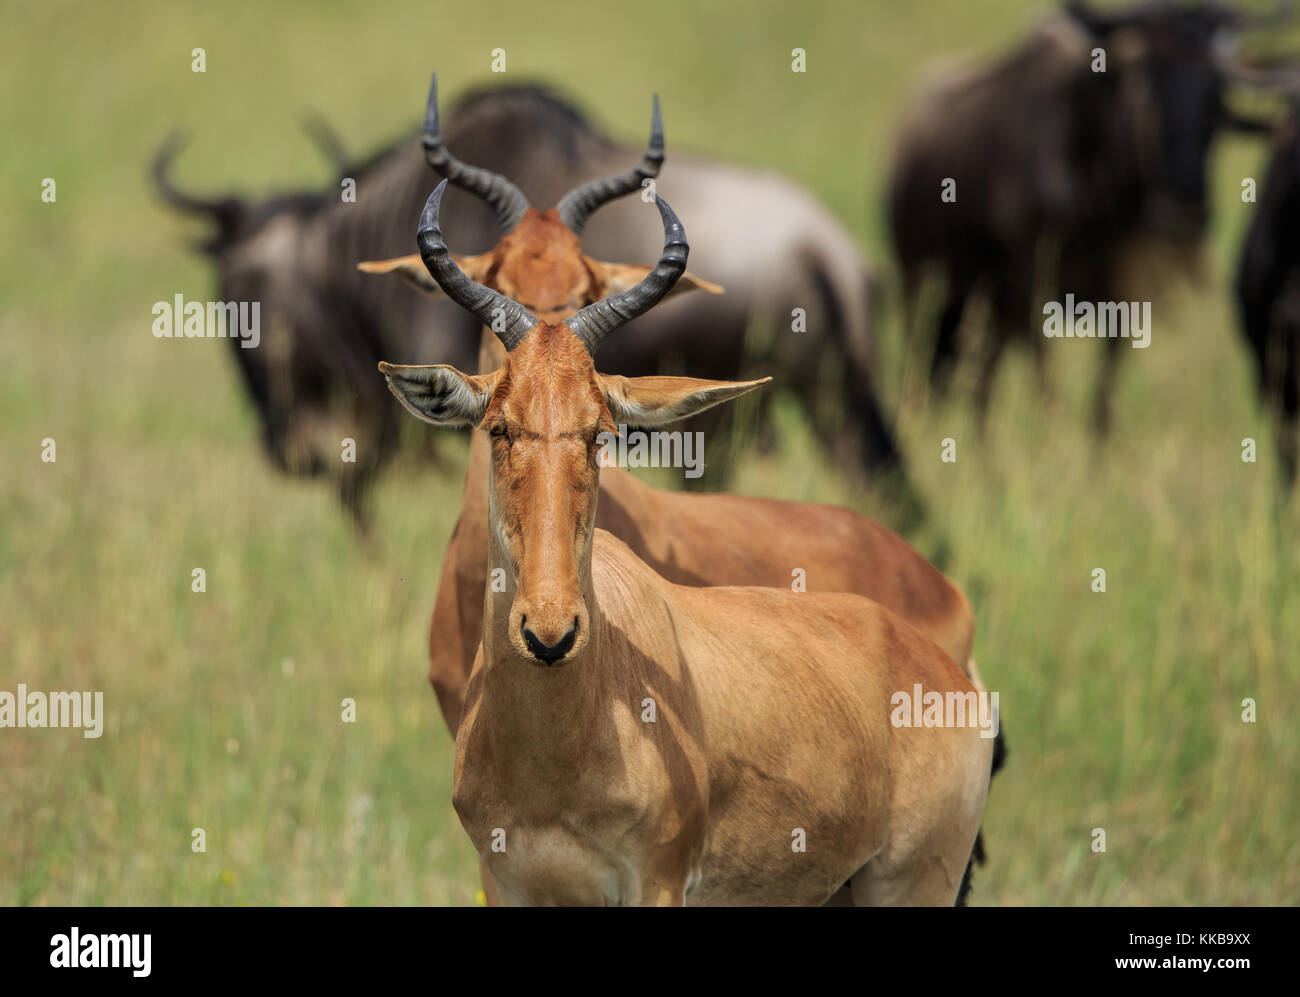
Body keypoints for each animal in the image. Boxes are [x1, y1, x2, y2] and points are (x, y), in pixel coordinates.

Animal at [379, 183, 992, 905]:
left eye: (600, 429)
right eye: (500, 425)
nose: (549, 632)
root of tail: (943, 661)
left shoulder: (659, 882)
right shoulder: (508, 883)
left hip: (918, 880)